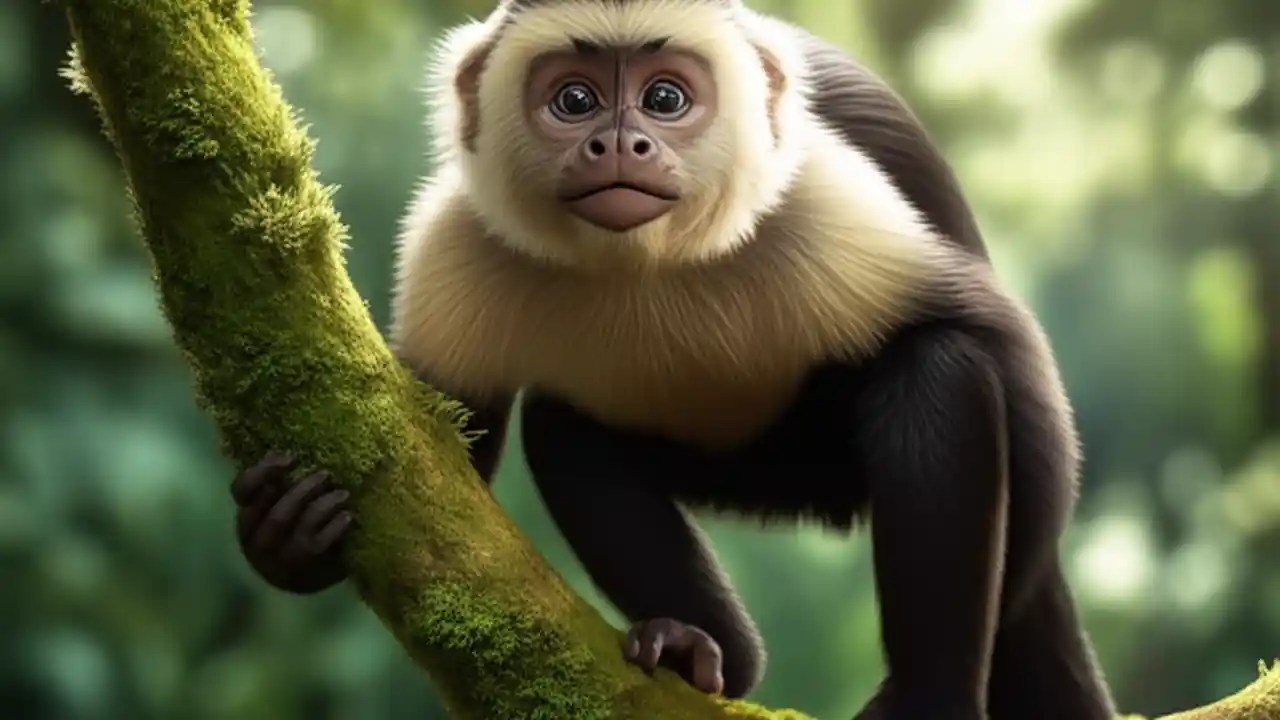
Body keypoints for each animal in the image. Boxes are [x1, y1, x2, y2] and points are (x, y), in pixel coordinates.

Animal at [227, 1, 1117, 718]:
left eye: (665, 98)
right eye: (574, 99)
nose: (619, 142)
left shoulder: (824, 199)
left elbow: (997, 343)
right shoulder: (451, 242)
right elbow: (441, 486)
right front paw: (285, 536)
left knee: (943, 373)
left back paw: (929, 692)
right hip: (765, 473)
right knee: (567, 431)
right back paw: (700, 653)